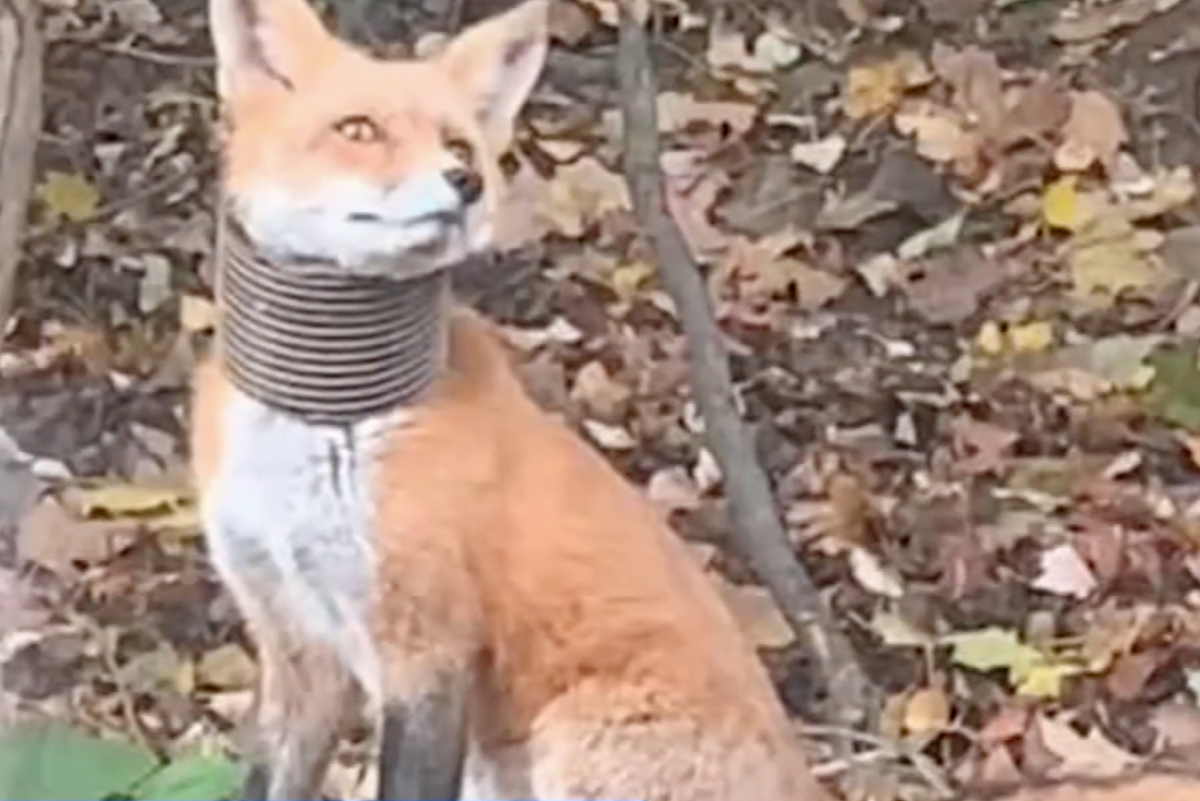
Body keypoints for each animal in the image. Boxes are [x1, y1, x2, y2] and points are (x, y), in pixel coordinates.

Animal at [190, 0, 1200, 800]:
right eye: (358, 129)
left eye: (459, 145)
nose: (465, 183)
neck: (324, 416)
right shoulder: (297, 645)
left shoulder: (427, 649)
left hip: (571, 734)